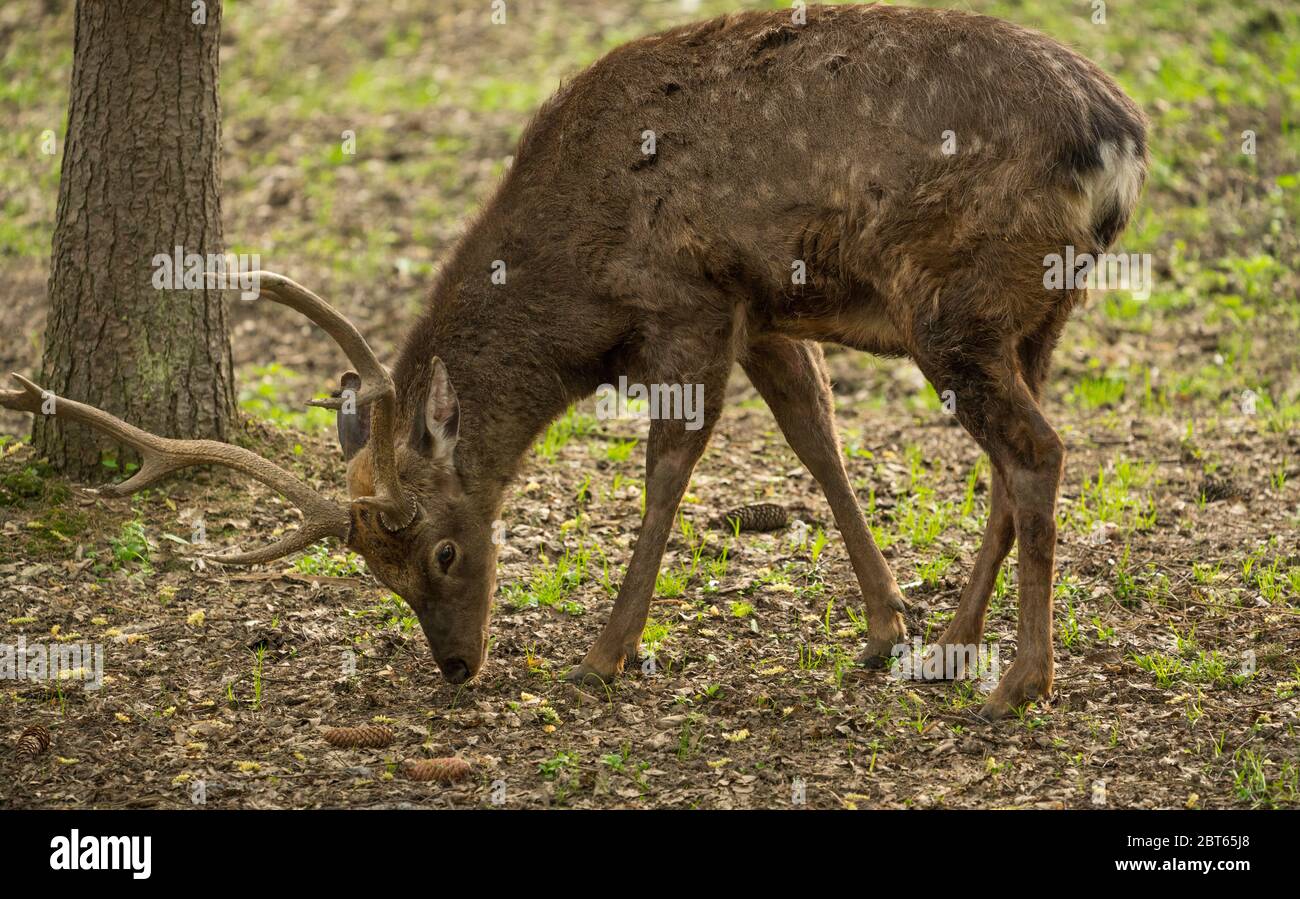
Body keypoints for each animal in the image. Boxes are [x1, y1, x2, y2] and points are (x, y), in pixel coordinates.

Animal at [2, 4, 1146, 719]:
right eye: (375, 573)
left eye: (444, 552)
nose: (456, 664)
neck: (578, 272)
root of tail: (1121, 143)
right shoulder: (760, 306)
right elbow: (813, 433)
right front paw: (882, 627)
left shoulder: (687, 299)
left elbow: (670, 464)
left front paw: (605, 653)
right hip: (1032, 314)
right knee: (1012, 457)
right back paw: (954, 644)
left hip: (955, 304)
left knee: (1037, 450)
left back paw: (1019, 683)